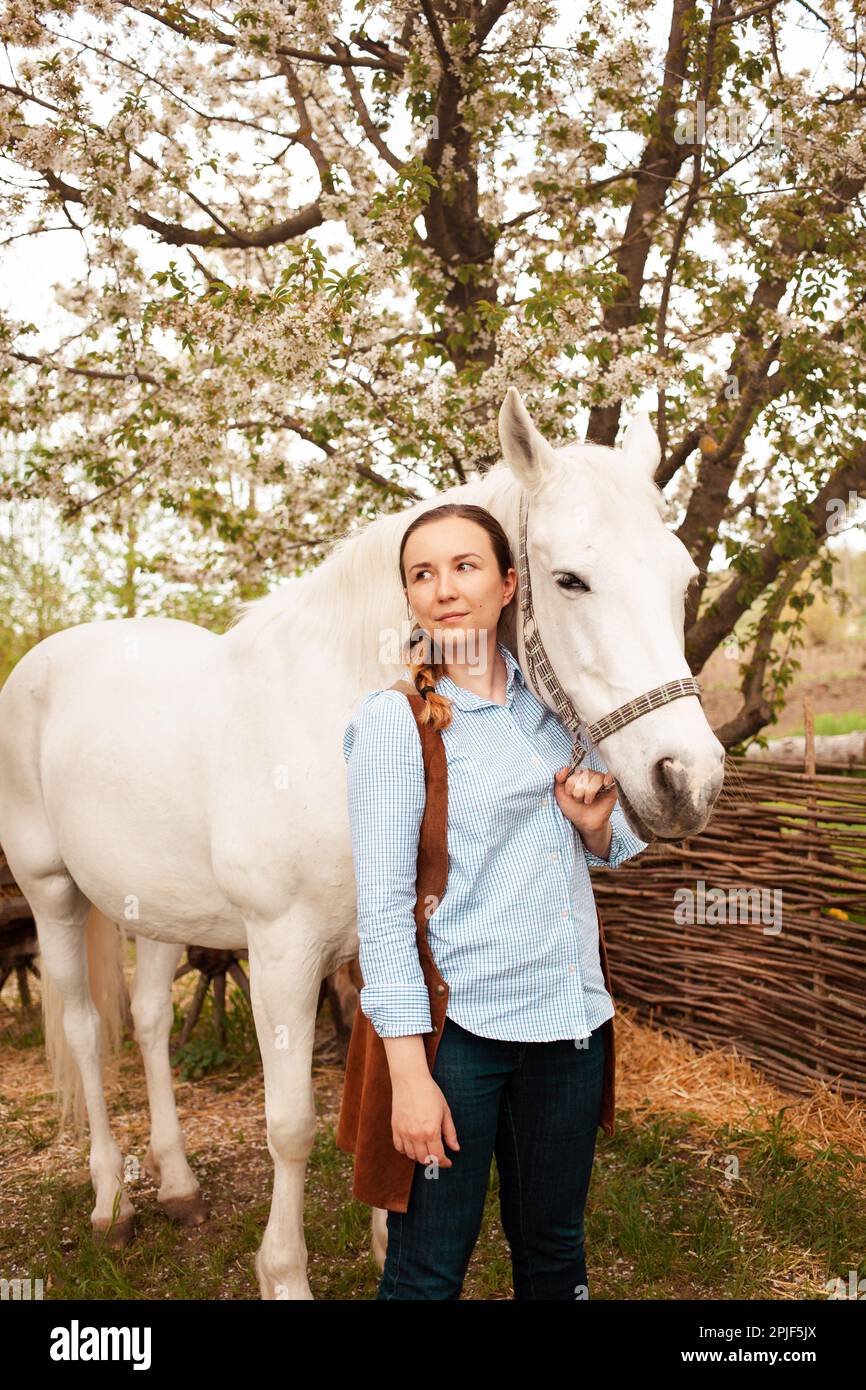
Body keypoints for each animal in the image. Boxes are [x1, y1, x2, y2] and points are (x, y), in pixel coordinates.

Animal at [0, 387, 725, 1298]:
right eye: (571, 579)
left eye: (682, 579)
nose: (688, 779)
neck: (335, 720)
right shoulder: (281, 956)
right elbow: (291, 1126)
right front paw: (284, 1273)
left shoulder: (380, 947)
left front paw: (388, 1238)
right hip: (52, 894)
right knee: (88, 1031)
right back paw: (111, 1203)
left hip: (154, 911)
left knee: (152, 1021)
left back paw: (177, 1187)